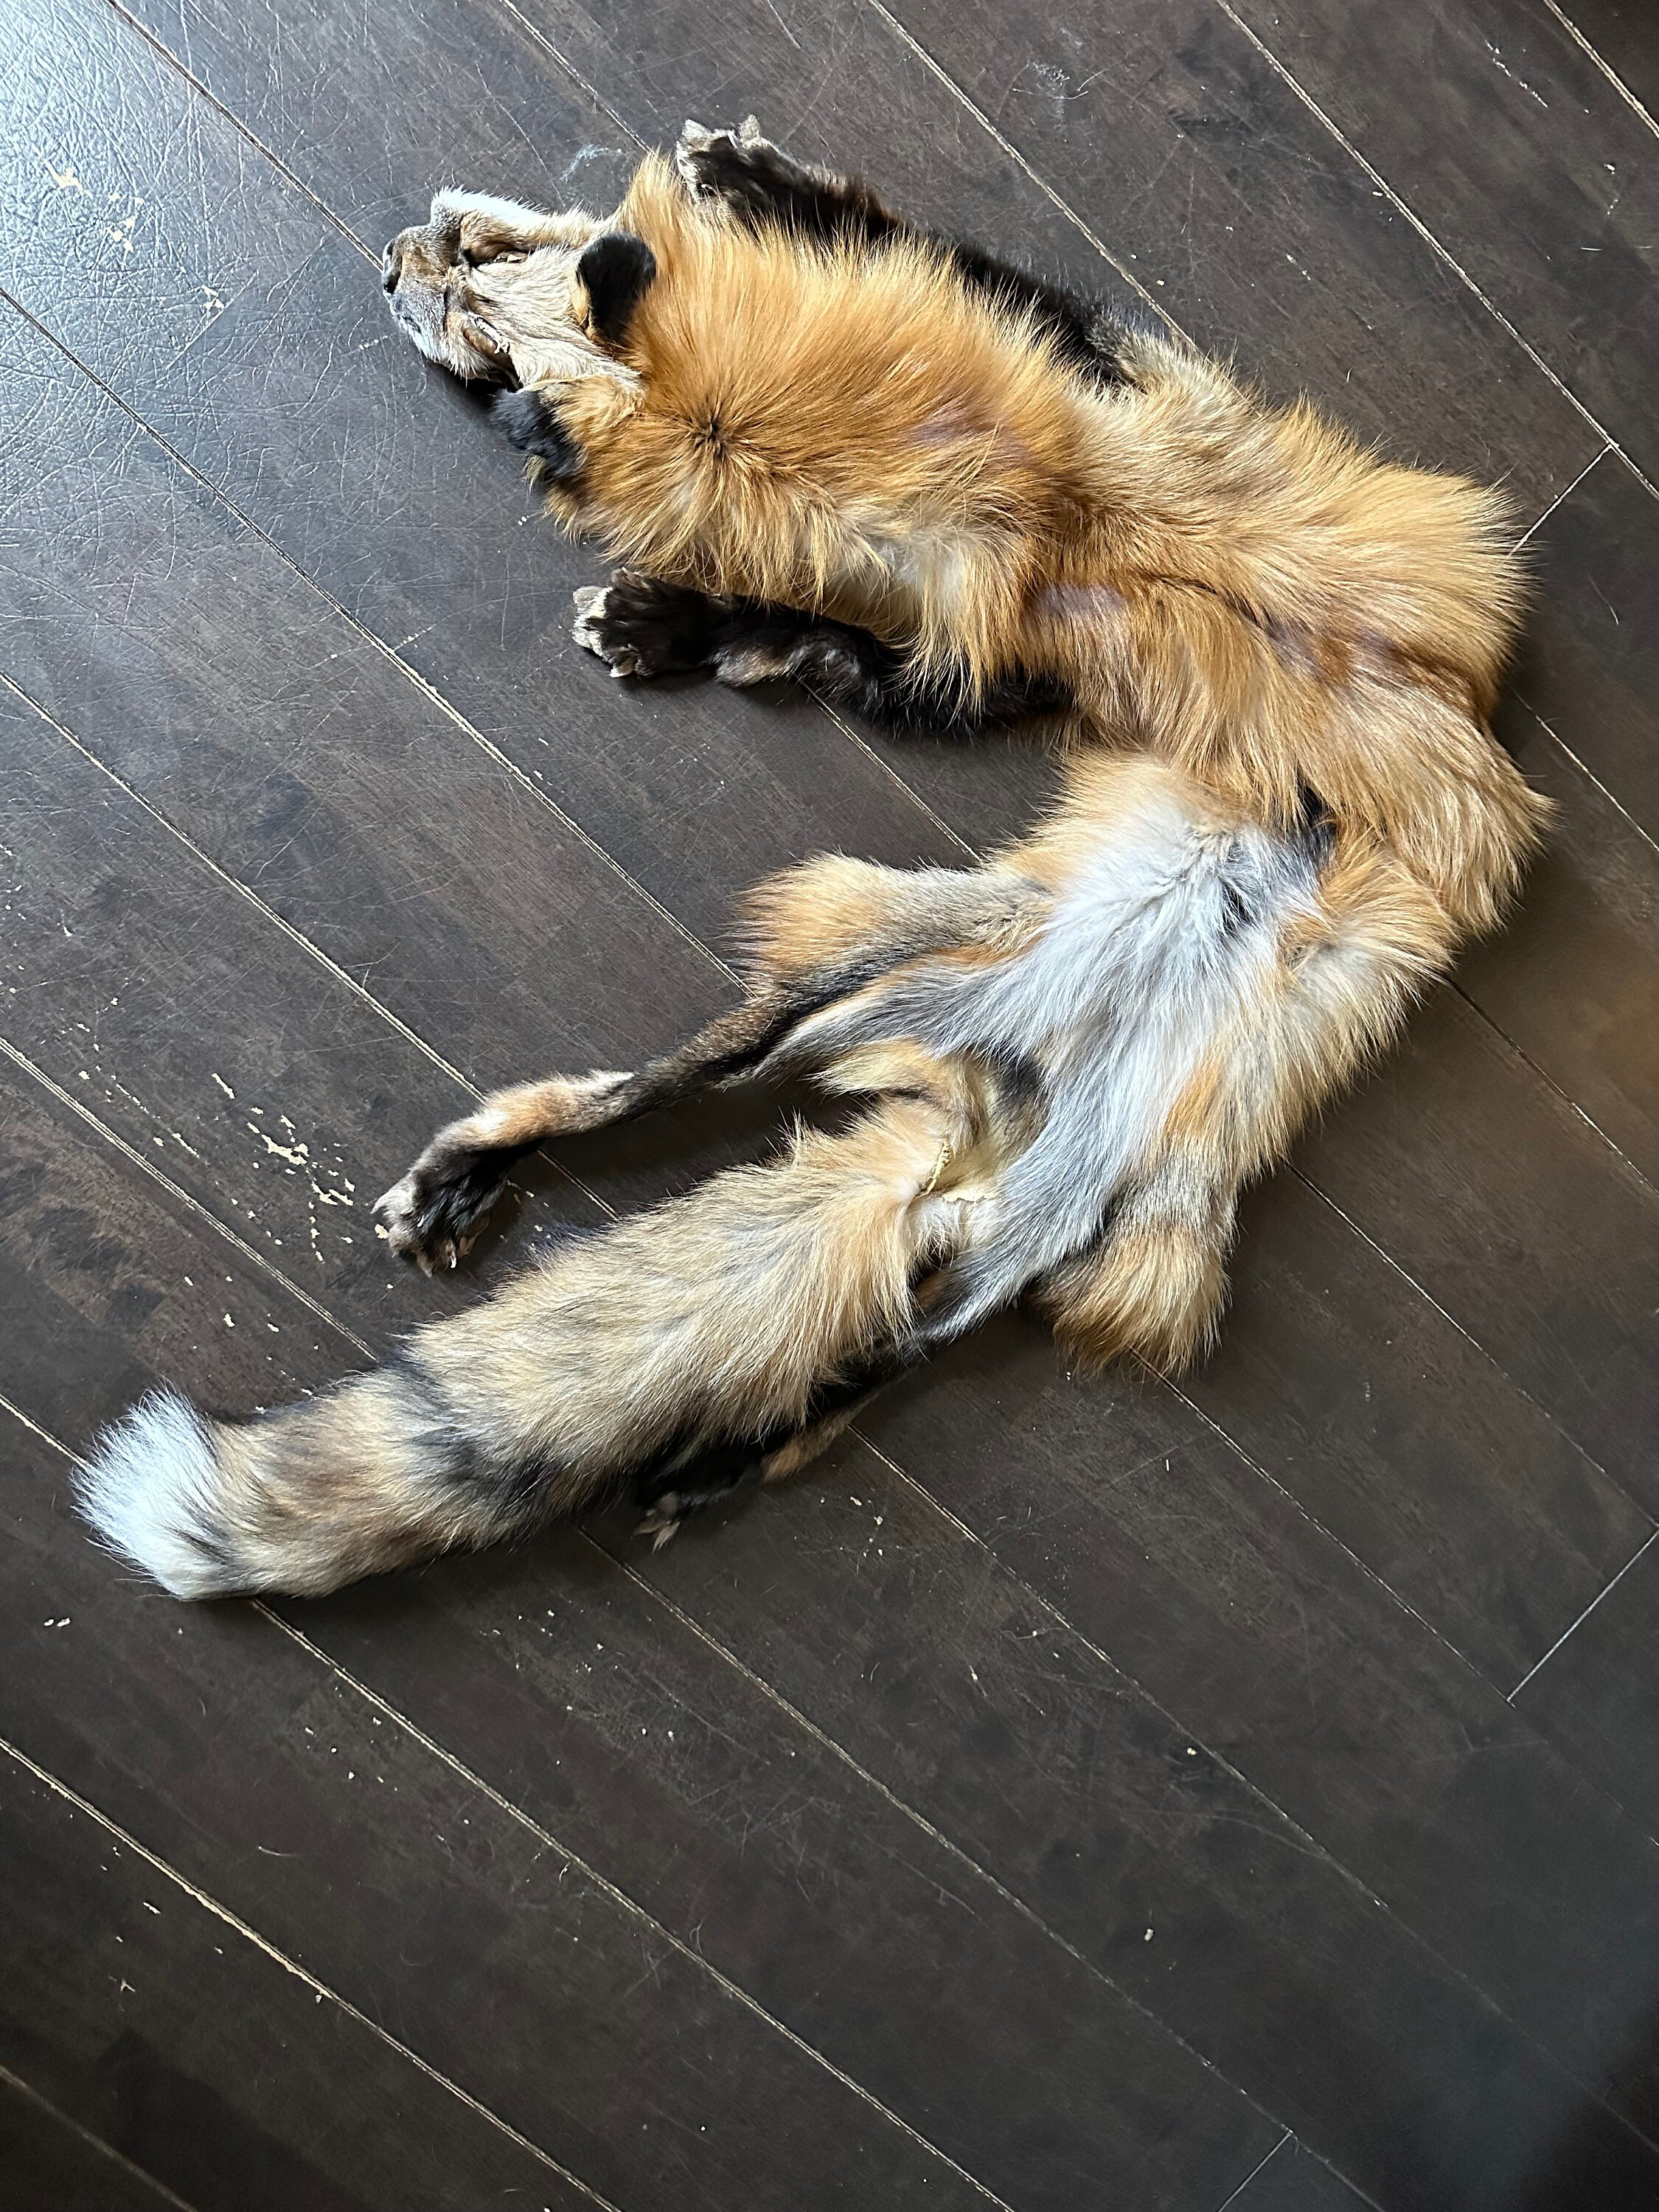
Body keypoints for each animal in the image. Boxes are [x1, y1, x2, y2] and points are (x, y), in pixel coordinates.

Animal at [77, 124, 1546, 1601]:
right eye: (481, 330)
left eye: (486, 280)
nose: (389, 261)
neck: (1058, 512)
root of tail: (988, 1116)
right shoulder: (1001, 642)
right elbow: (826, 642)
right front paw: (683, 622)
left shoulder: (1104, 425)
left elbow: (943, 276)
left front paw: (755, 186)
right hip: (854, 1009)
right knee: (677, 1149)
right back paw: (489, 1199)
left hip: (1095, 1194)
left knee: (884, 1355)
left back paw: (707, 1453)